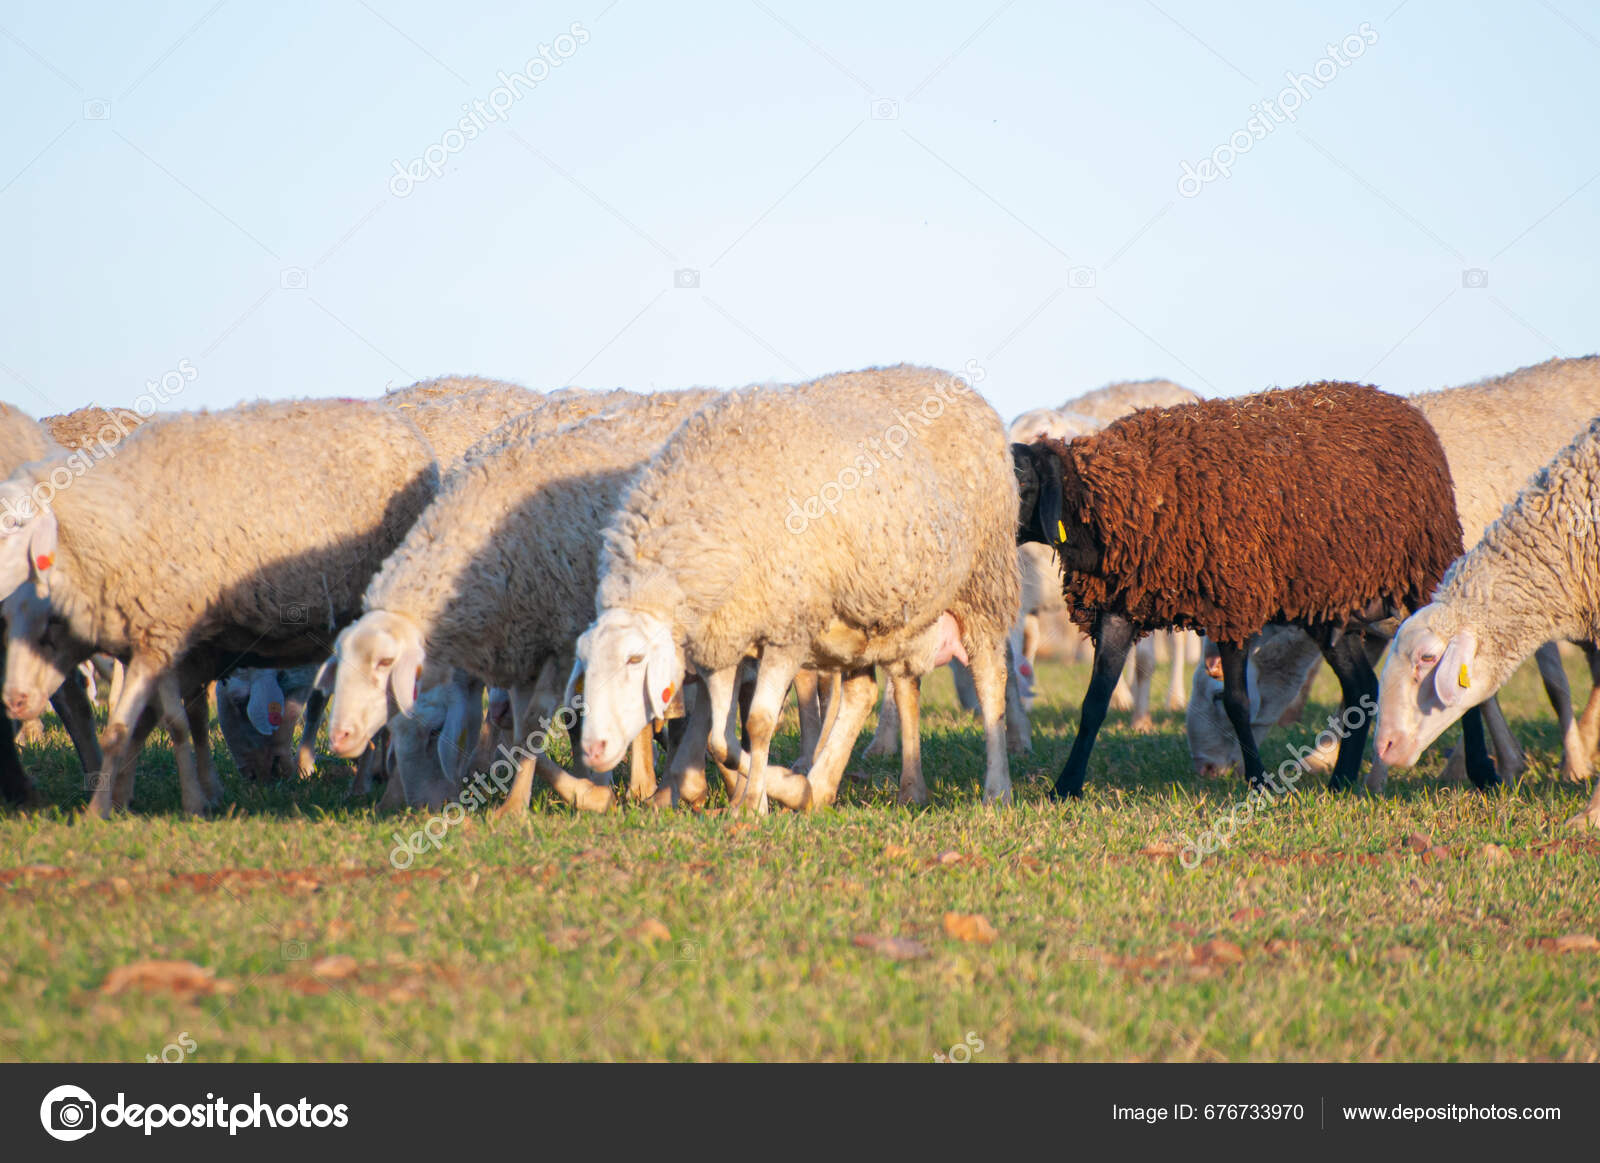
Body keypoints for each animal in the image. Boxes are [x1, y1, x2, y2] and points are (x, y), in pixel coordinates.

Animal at [0, 398, 439, 816]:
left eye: (16, 524)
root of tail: (401, 424)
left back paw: (380, 788)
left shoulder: (163, 634)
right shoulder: (168, 640)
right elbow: (166, 721)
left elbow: (141, 724)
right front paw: (142, 797)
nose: (15, 700)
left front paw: (145, 802)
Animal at [318, 388, 722, 813]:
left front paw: (524, 805)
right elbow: (519, 729)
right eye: (390, 729)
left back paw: (661, 785)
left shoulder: (562, 643)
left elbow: (533, 724)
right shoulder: (519, 646)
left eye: (433, 732)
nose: (419, 806)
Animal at [570, 364, 1020, 812]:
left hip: (983, 585)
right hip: (871, 617)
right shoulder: (725, 637)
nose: (593, 749)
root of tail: (961, 388)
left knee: (990, 682)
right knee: (866, 693)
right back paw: (826, 788)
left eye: (634, 659)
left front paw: (753, 804)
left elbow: (758, 722)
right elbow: (720, 740)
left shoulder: (787, 629)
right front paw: (783, 785)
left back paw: (997, 790)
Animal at [1012, 380, 1490, 796]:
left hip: (1425, 569)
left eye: (1022, 483)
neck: (1117, 496)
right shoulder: (1119, 609)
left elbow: (1239, 702)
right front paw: (1066, 786)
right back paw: (1341, 783)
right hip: (1329, 606)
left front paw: (1259, 782)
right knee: (1361, 687)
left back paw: (1483, 773)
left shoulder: (1233, 605)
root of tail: (1402, 406)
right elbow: (1094, 701)